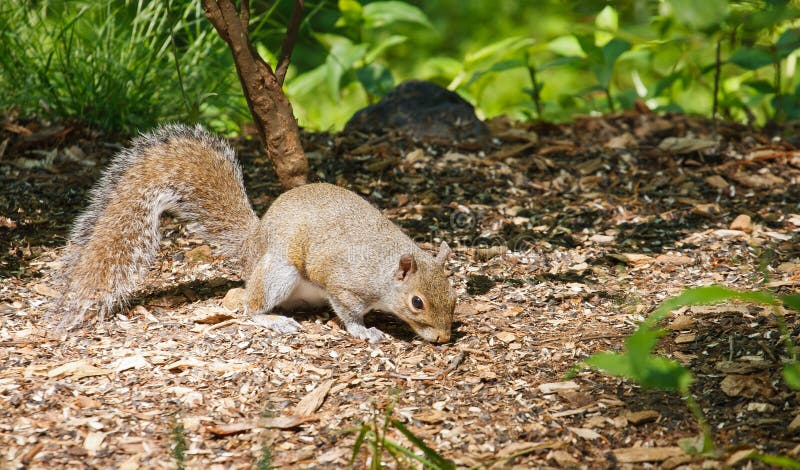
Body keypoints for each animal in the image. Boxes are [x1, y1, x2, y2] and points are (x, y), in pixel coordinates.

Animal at [54, 124, 456, 343]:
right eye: (417, 302)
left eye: (453, 298)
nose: (443, 338)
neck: (384, 267)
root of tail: (253, 242)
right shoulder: (343, 282)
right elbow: (349, 312)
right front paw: (364, 330)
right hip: (279, 271)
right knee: (249, 307)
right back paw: (273, 319)